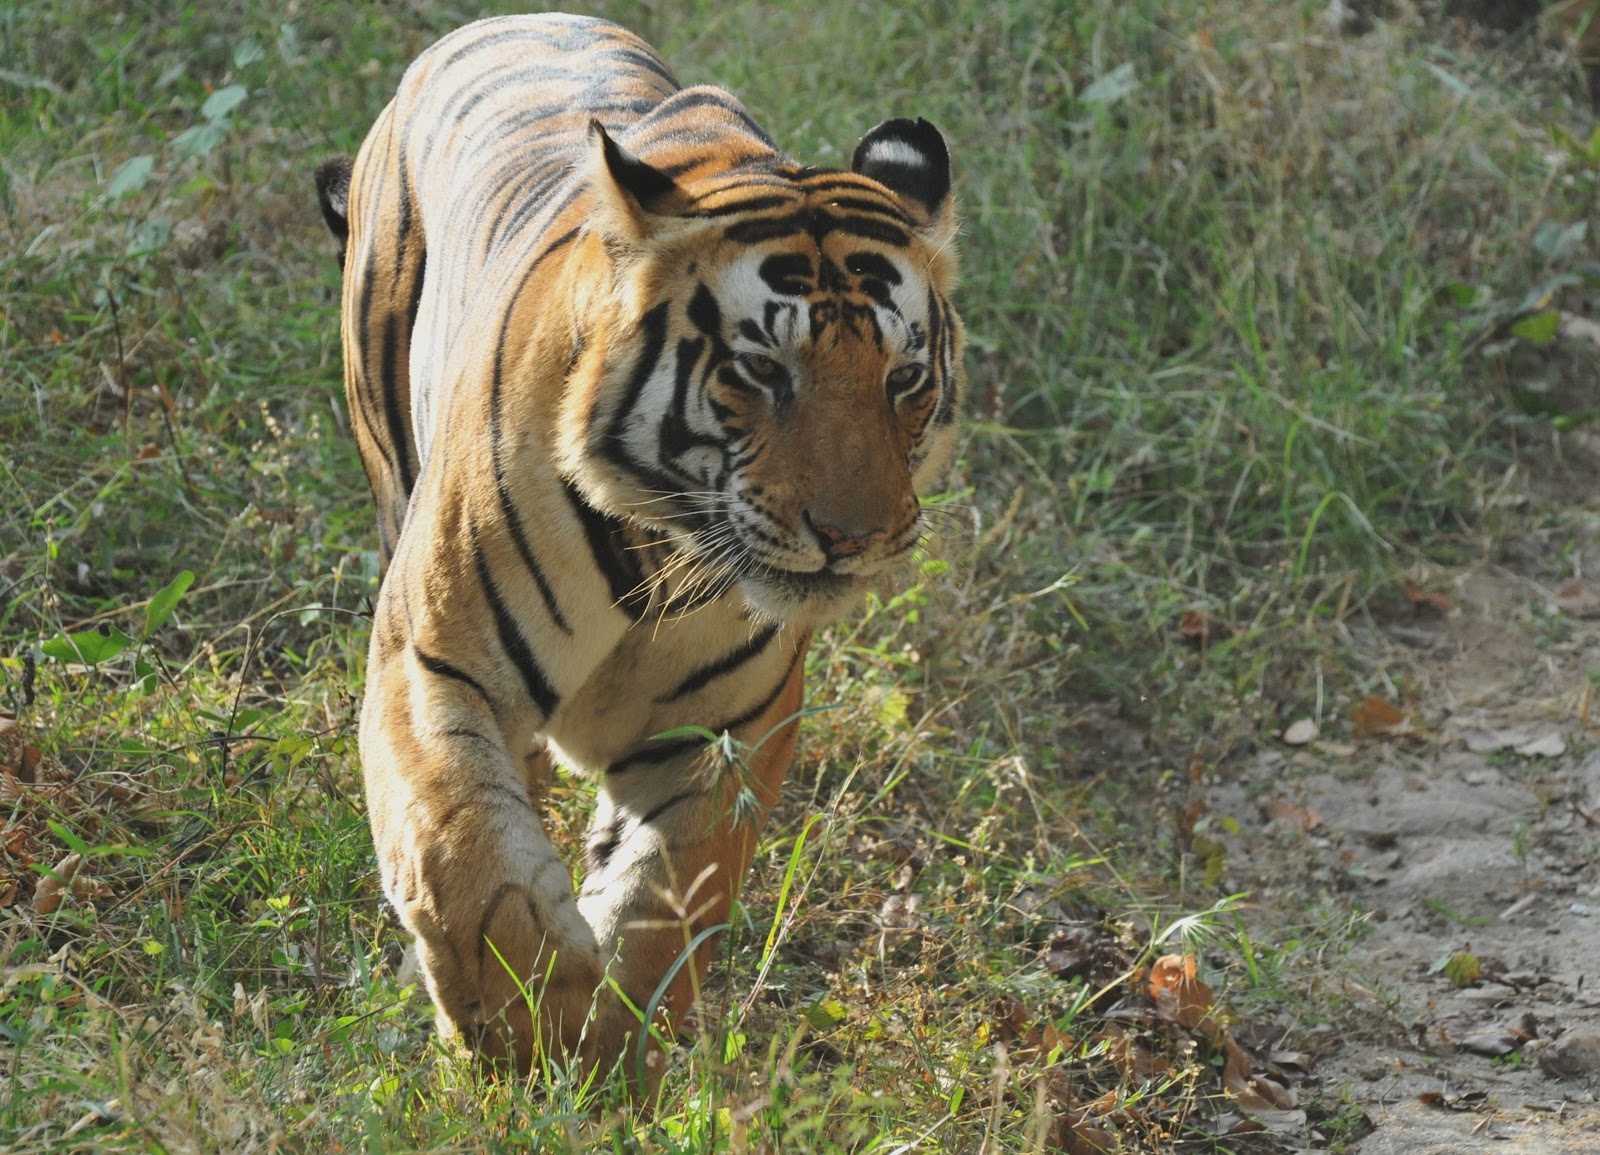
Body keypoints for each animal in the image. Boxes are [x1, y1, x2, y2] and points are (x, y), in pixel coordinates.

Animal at [314, 12, 964, 1086]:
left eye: (904, 377)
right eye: (762, 370)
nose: (855, 536)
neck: (663, 553)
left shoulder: (726, 726)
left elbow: (668, 896)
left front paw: (607, 1052)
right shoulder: (432, 658)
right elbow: (461, 854)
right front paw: (520, 1028)